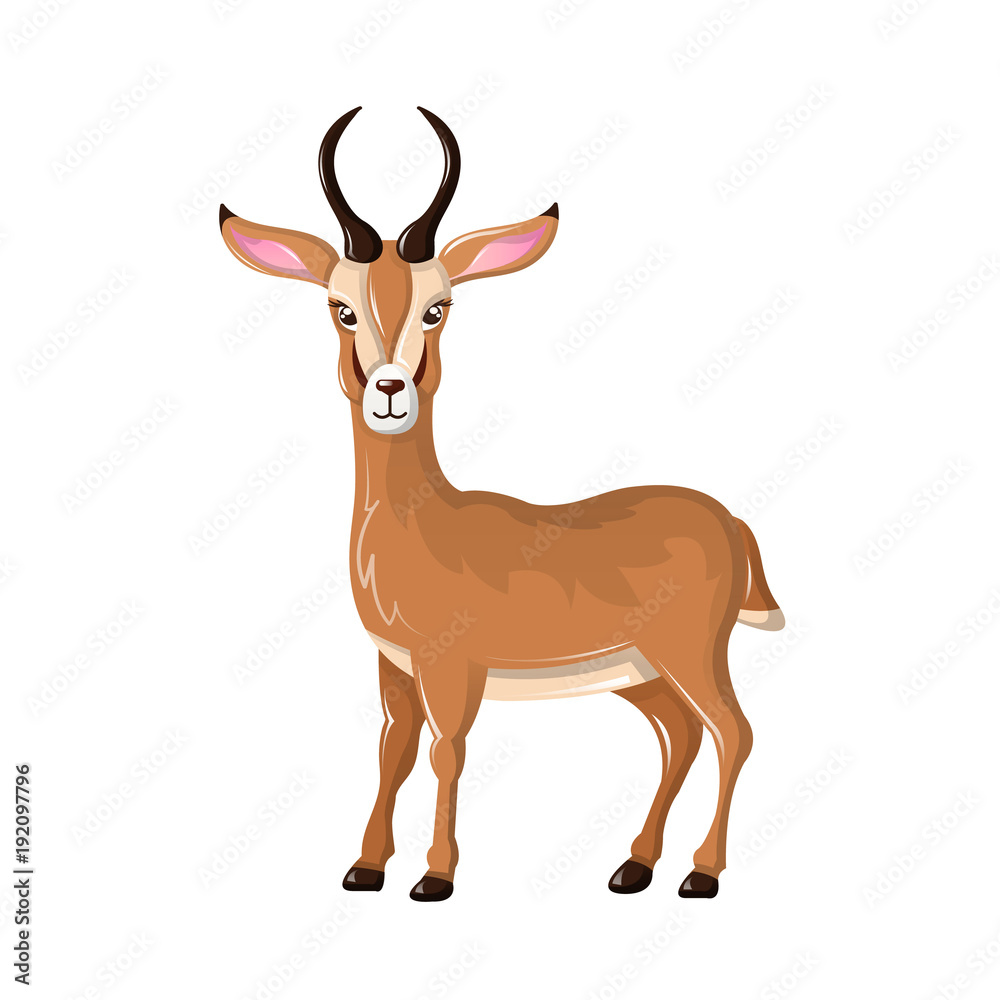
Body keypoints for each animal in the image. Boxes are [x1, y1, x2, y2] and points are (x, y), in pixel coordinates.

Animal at [219, 107, 784, 902]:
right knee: (681, 734)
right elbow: (393, 749)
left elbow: (446, 751)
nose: (389, 391)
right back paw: (633, 867)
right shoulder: (395, 667)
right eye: (341, 308)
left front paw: (435, 877)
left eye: (438, 308)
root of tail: (729, 520)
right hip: (641, 672)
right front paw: (365, 868)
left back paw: (700, 875)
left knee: (734, 731)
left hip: (691, 653)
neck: (417, 526)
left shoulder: (452, 667)